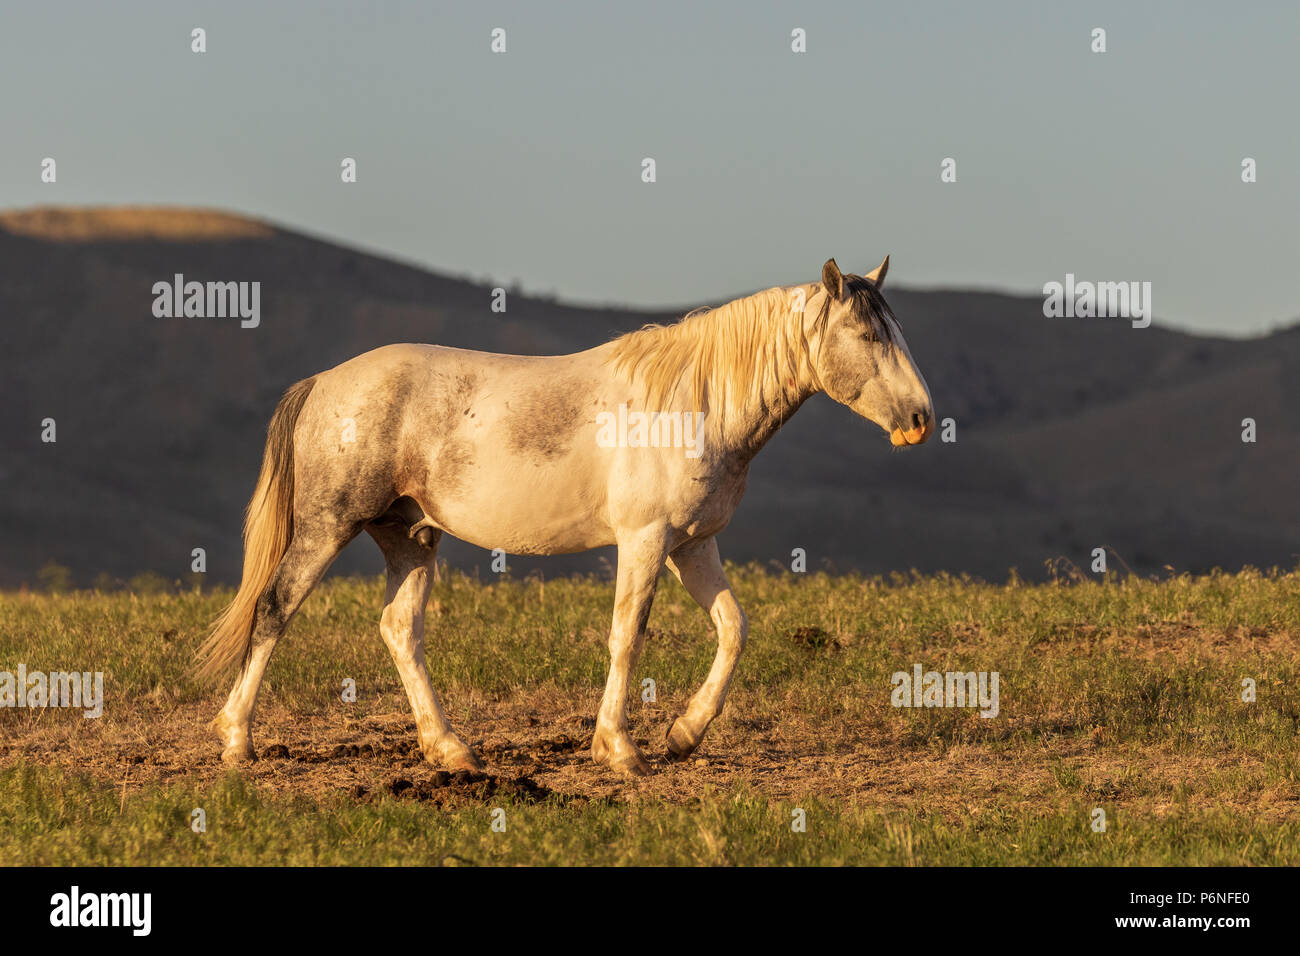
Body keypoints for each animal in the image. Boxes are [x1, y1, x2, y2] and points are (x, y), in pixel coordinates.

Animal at [197, 255, 934, 776]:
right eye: (866, 332)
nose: (922, 419)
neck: (691, 401)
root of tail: (323, 382)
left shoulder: (693, 545)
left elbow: (733, 629)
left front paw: (684, 735)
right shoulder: (646, 541)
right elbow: (627, 637)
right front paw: (620, 749)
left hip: (408, 537)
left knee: (399, 630)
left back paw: (450, 749)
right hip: (328, 528)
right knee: (274, 609)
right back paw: (236, 740)